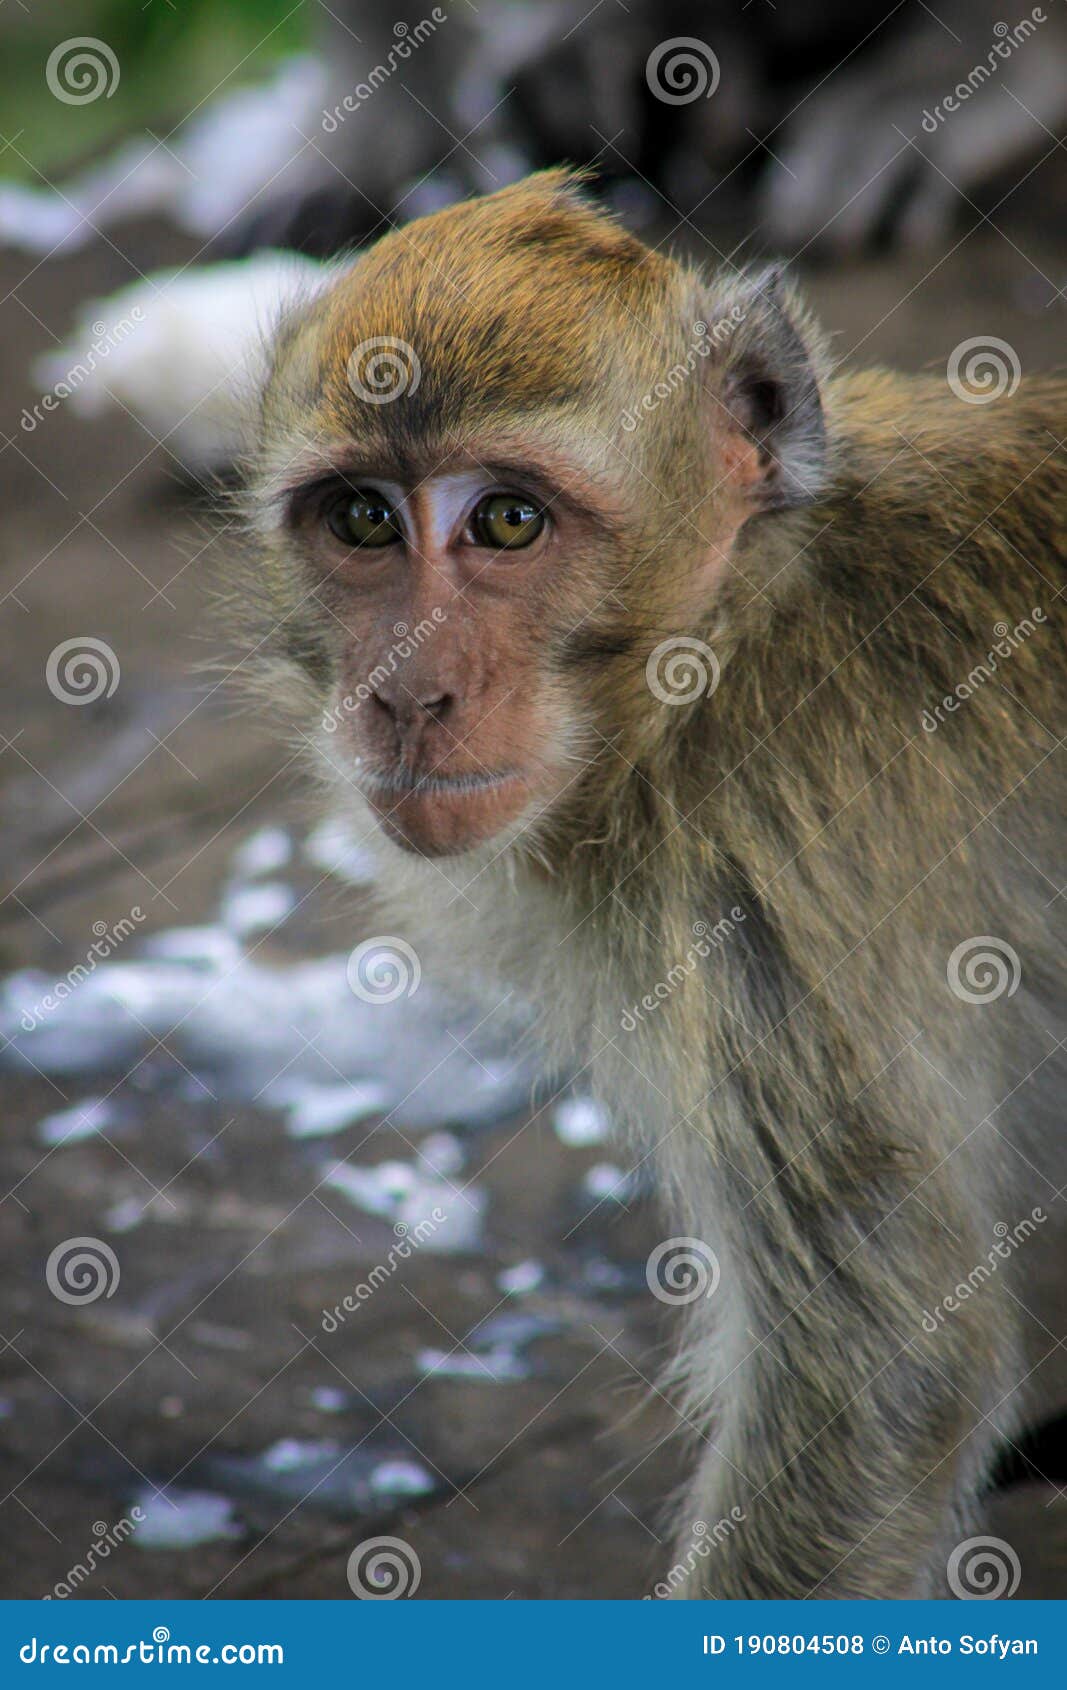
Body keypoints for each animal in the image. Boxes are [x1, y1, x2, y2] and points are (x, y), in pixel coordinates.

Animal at [231, 170, 1066, 1598]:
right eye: (363, 520)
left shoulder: (753, 857)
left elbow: (886, 1380)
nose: (404, 691)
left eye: (508, 519)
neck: (726, 631)